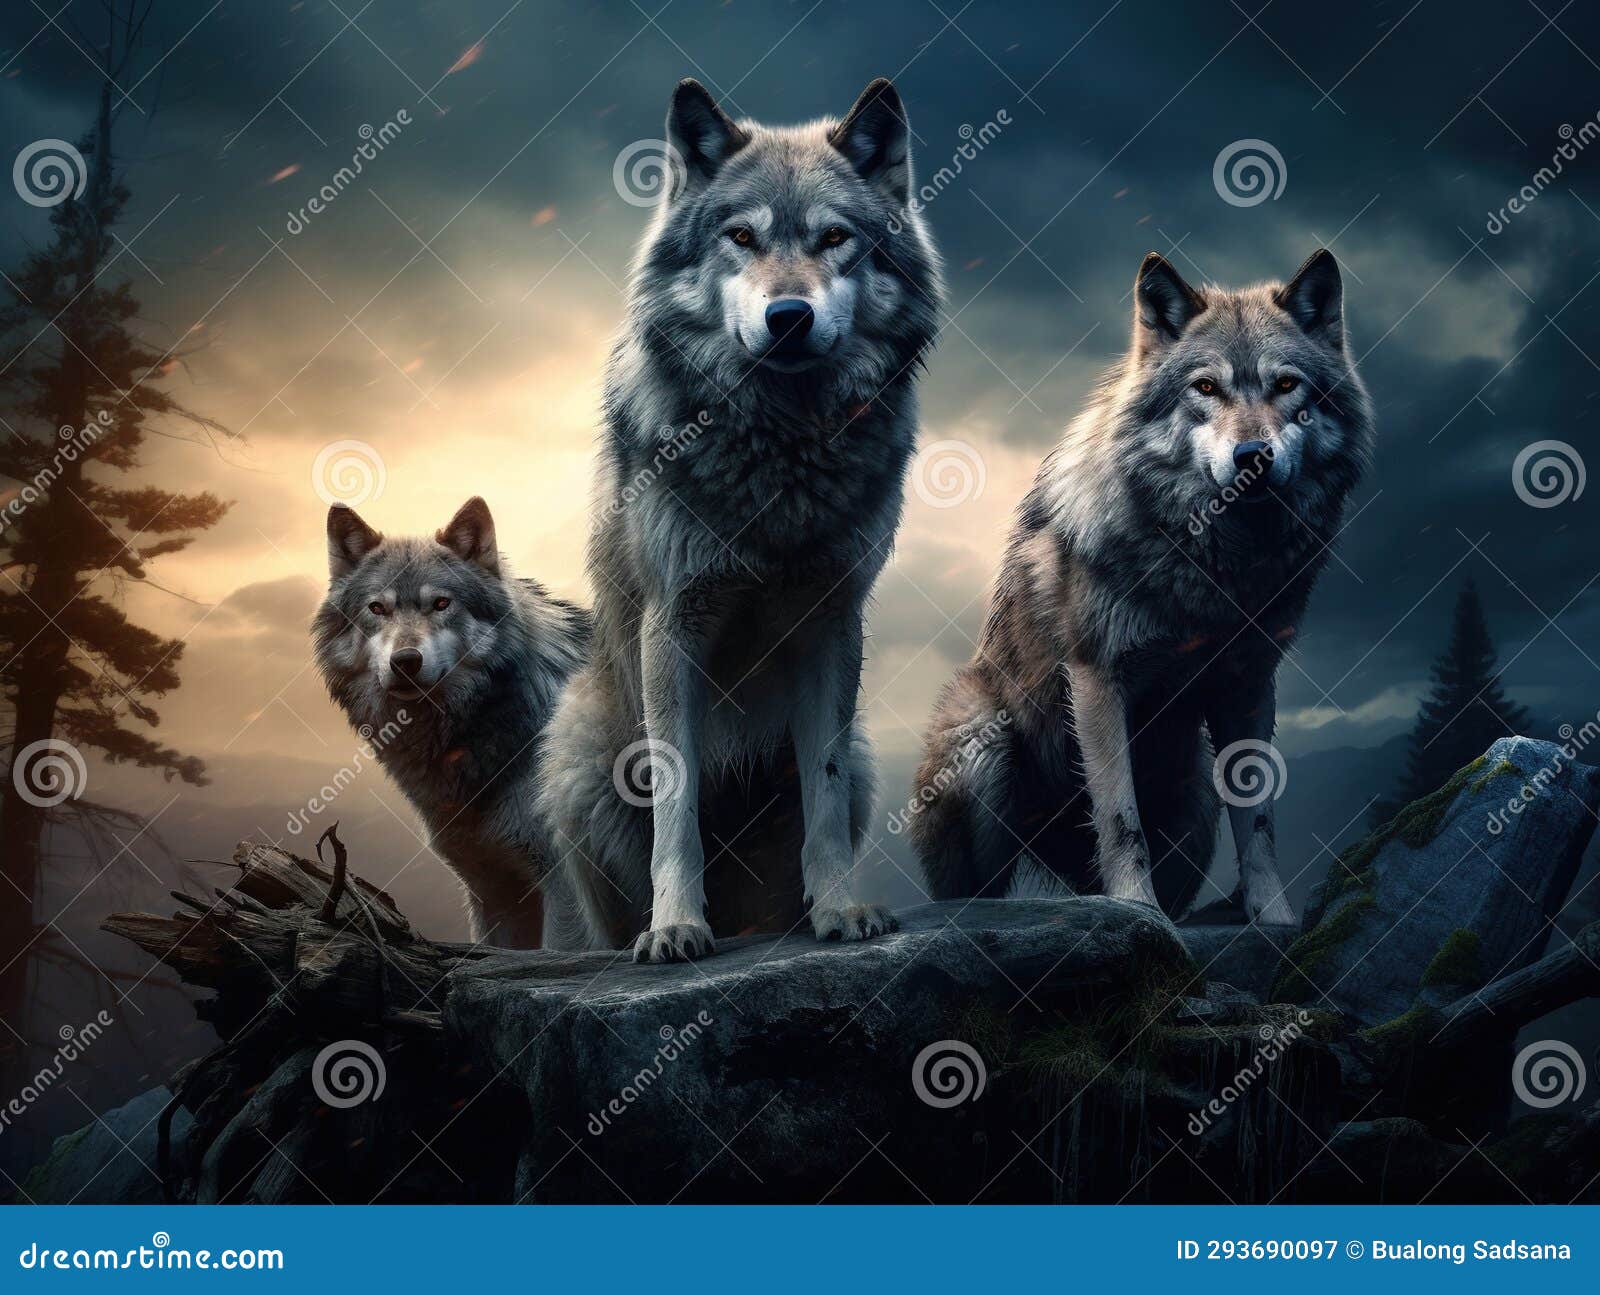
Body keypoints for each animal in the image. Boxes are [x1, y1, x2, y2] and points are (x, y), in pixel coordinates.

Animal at [537, 77, 943, 961]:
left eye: (835, 238)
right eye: (743, 237)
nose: (789, 315)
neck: (778, 452)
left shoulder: (833, 625)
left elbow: (822, 793)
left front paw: (840, 910)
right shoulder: (672, 625)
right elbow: (676, 803)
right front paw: (676, 925)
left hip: (866, 755)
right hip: (577, 754)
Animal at [912, 250, 1372, 924]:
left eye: (1287, 386)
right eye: (1205, 388)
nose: (1253, 455)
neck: (1214, 566)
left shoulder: (1250, 685)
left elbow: (1259, 824)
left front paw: (1275, 918)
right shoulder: (1098, 678)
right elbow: (1119, 818)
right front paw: (1136, 910)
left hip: (1195, 791)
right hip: (981, 740)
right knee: (976, 894)